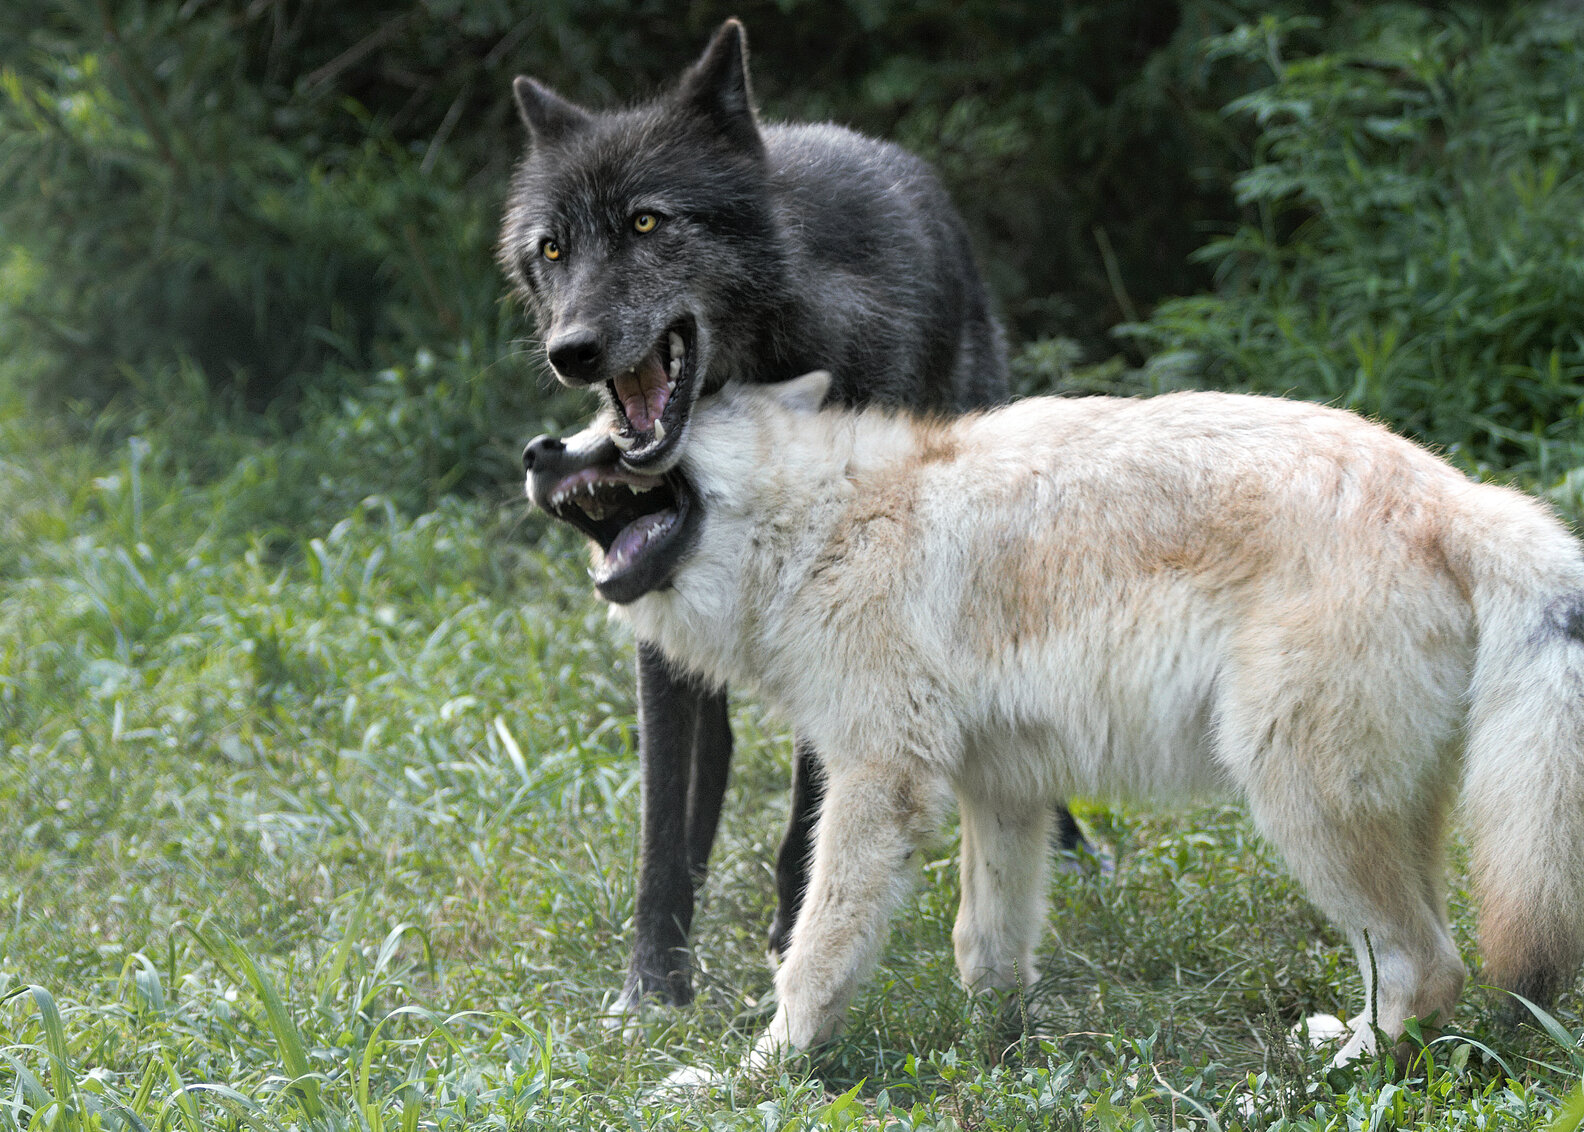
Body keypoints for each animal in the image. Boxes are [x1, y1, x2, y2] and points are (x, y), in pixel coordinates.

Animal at [501, 20, 1087, 1011]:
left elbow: (814, 795)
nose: (570, 351)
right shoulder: (659, 629)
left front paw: (787, 934)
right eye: (552, 249)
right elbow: (662, 823)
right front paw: (652, 982)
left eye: (646, 222)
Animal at [531, 372, 1584, 1069]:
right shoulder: (1003, 790)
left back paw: (1328, 1078)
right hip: (1379, 816)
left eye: (623, 430)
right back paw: (1356, 1043)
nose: (541, 455)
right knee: (1421, 967)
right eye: (590, 420)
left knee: (1433, 967)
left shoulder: (879, 780)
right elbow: (984, 948)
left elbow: (812, 956)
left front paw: (756, 1076)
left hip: (1302, 808)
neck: (836, 519)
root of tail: (1459, 496)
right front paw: (994, 1054)